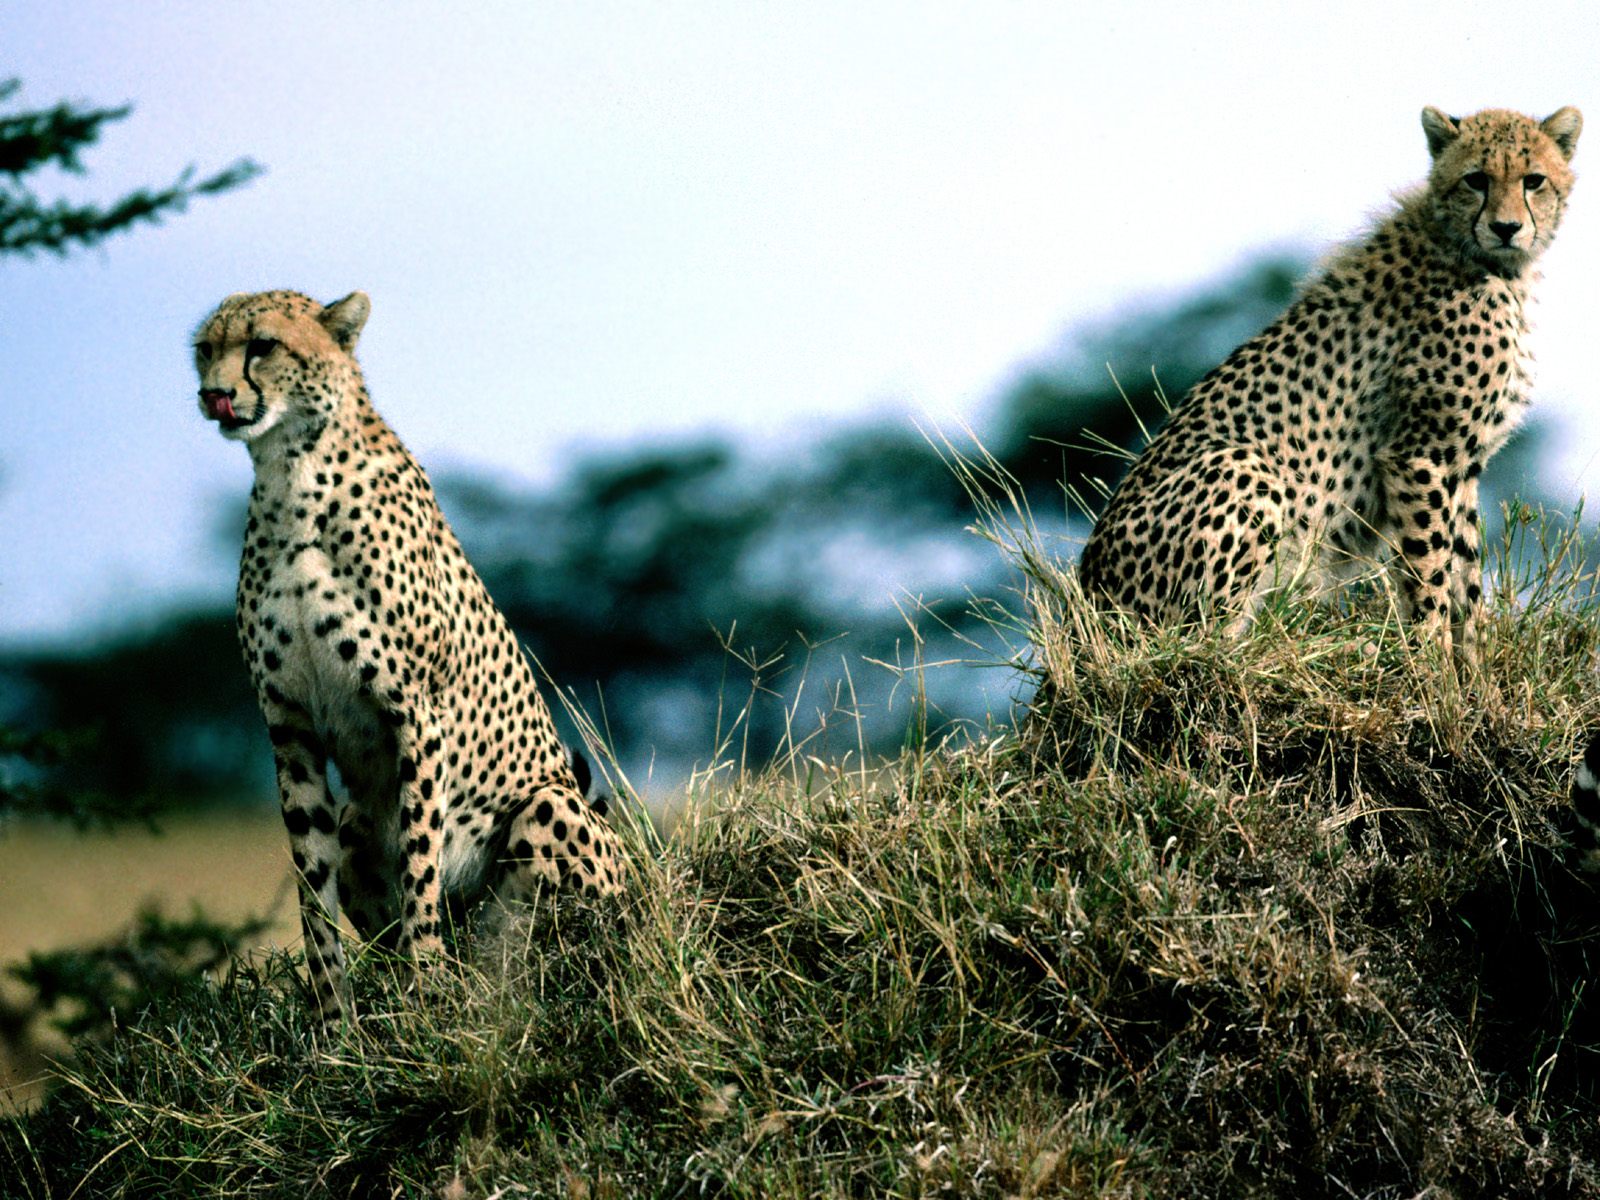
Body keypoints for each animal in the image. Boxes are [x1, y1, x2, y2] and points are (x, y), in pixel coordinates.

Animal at [193, 289, 625, 1029]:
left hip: (552, 810)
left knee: (523, 956)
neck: (291, 477)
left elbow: (420, 857)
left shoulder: (415, 711)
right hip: (356, 822)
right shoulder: (289, 725)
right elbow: (311, 885)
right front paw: (334, 1026)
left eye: (262, 345)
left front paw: (425, 995)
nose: (213, 394)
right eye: (204, 350)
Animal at [1078, 104, 1582, 665]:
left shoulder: (1462, 465)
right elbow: (1429, 571)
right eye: (1476, 180)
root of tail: (1086, 594)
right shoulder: (1419, 455)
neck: (1478, 257)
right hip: (1242, 469)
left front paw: (1475, 669)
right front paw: (1432, 664)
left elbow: (1465, 574)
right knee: (1197, 645)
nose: (1507, 227)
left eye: (1533, 180)